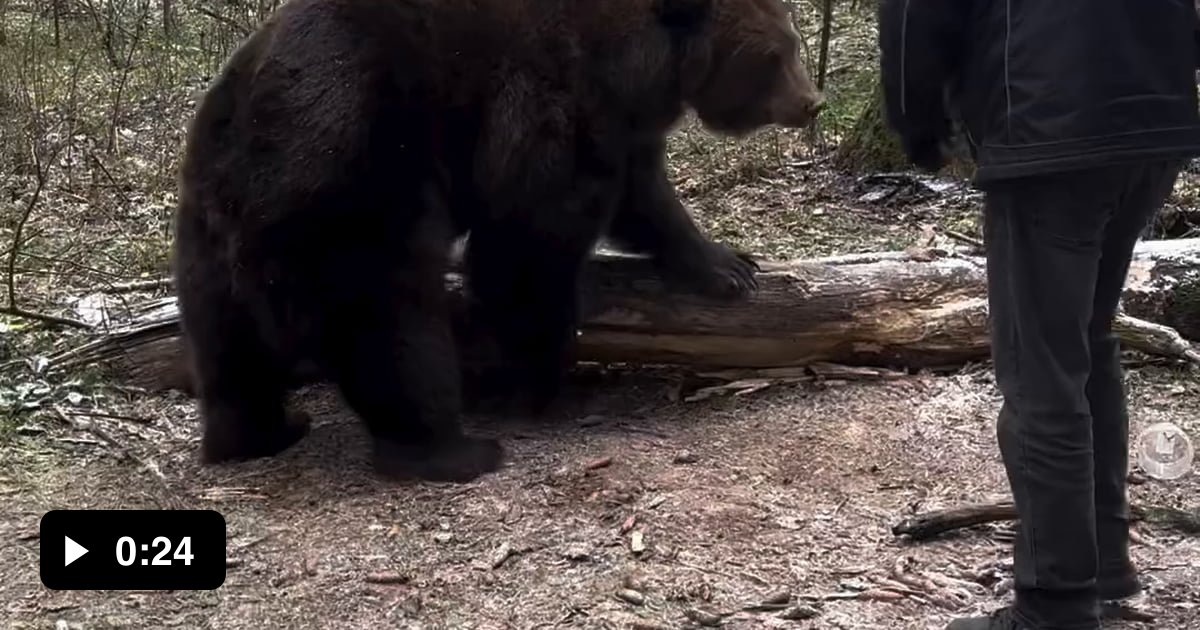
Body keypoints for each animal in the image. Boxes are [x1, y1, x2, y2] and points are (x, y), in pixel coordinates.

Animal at [171, 0, 824, 484]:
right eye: (779, 53)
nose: (812, 102)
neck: (633, 62)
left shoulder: (616, 121)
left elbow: (643, 196)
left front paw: (727, 264)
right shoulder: (550, 106)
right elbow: (529, 245)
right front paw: (539, 377)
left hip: (205, 221)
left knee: (223, 341)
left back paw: (257, 432)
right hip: (353, 185)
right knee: (389, 321)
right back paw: (449, 448)